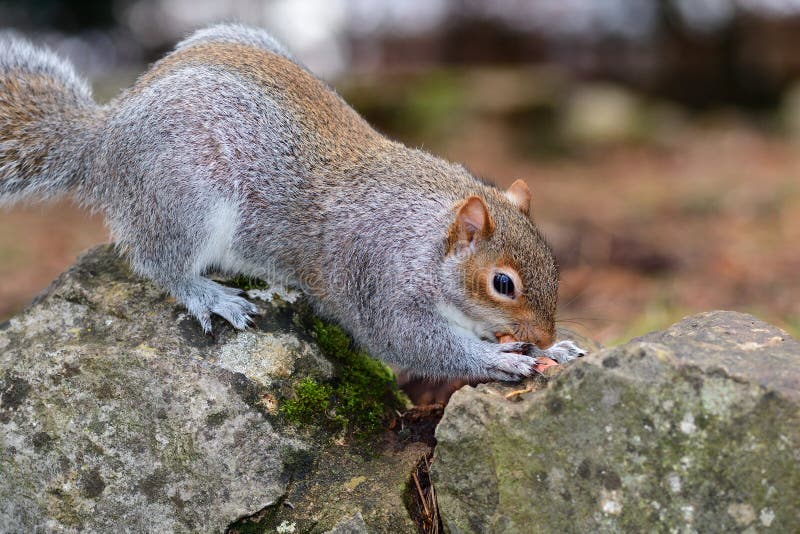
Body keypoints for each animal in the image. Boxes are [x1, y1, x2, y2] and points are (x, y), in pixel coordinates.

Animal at [0, 24, 585, 380]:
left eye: (556, 265)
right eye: (502, 284)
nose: (547, 332)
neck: (427, 237)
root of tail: (104, 139)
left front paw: (553, 350)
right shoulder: (375, 279)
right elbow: (410, 343)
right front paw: (499, 359)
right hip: (185, 189)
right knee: (157, 260)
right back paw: (206, 292)